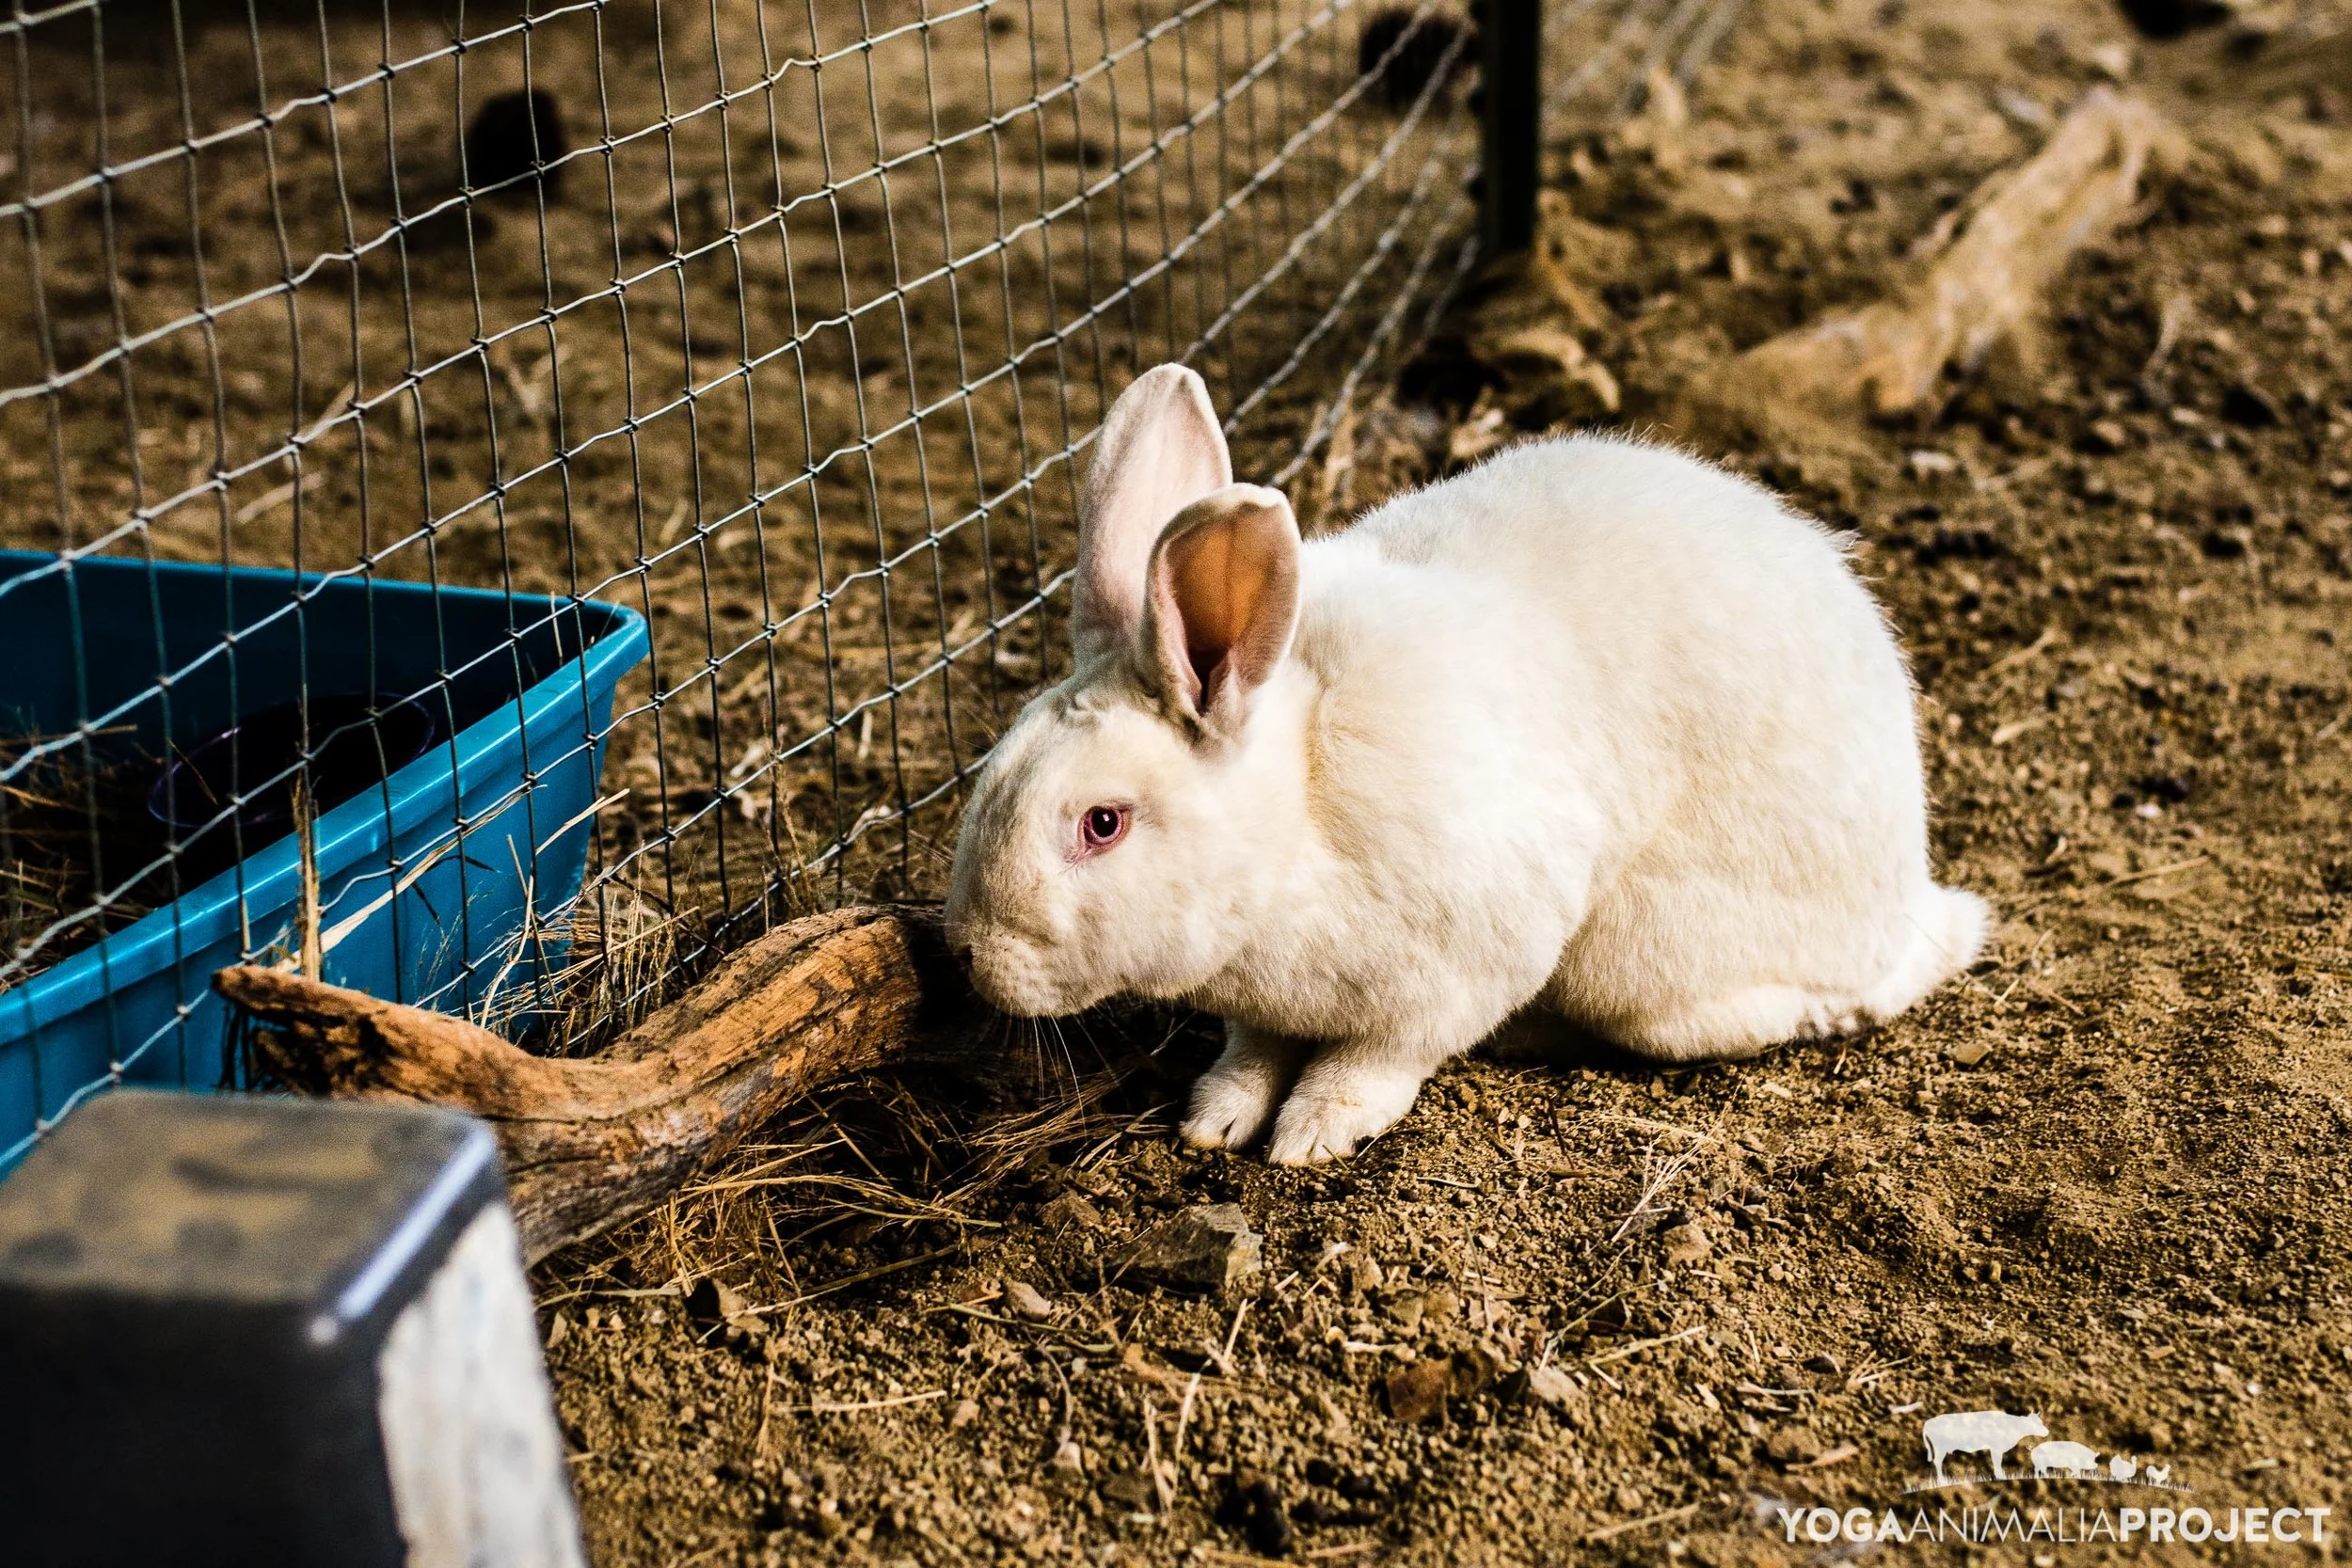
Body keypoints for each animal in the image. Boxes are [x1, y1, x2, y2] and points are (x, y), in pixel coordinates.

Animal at [944, 363, 1989, 1164]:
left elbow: (1378, 1060)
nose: (964, 954)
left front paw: (1312, 1132)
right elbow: (1251, 1051)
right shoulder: (1263, 1006)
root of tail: (1908, 879)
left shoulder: (1460, 970)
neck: (1296, 814)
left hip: (1645, 969)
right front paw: (1219, 1117)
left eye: (1103, 822)